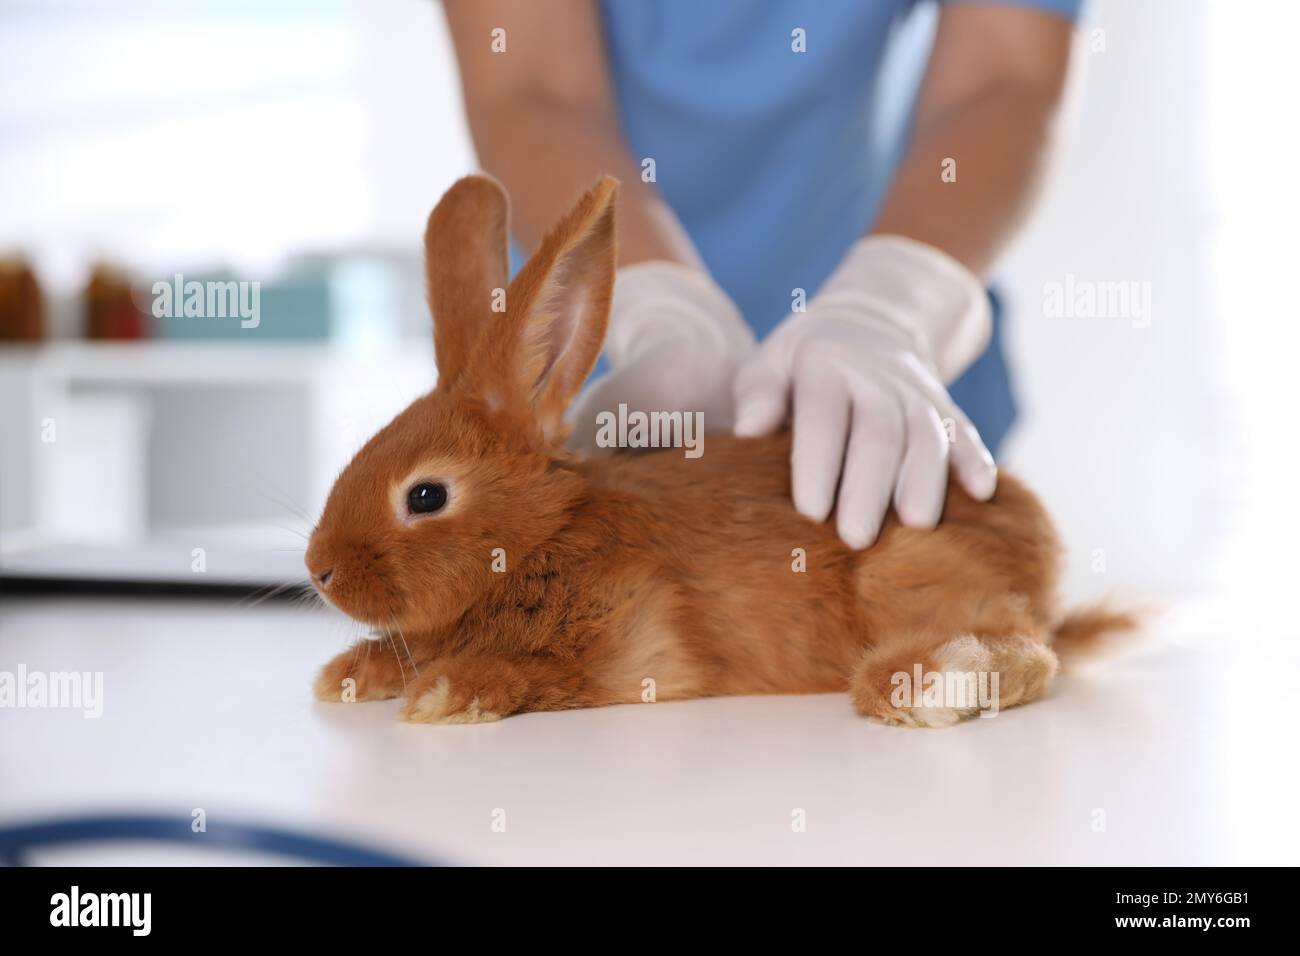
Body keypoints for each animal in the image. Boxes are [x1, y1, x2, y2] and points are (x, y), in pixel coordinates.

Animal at [306, 173, 1135, 727]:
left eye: (425, 496)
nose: (319, 570)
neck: (540, 538)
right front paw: (348, 675)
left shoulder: (633, 653)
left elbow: (537, 671)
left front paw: (449, 692)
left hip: (906, 566)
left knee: (1031, 649)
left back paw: (924, 681)